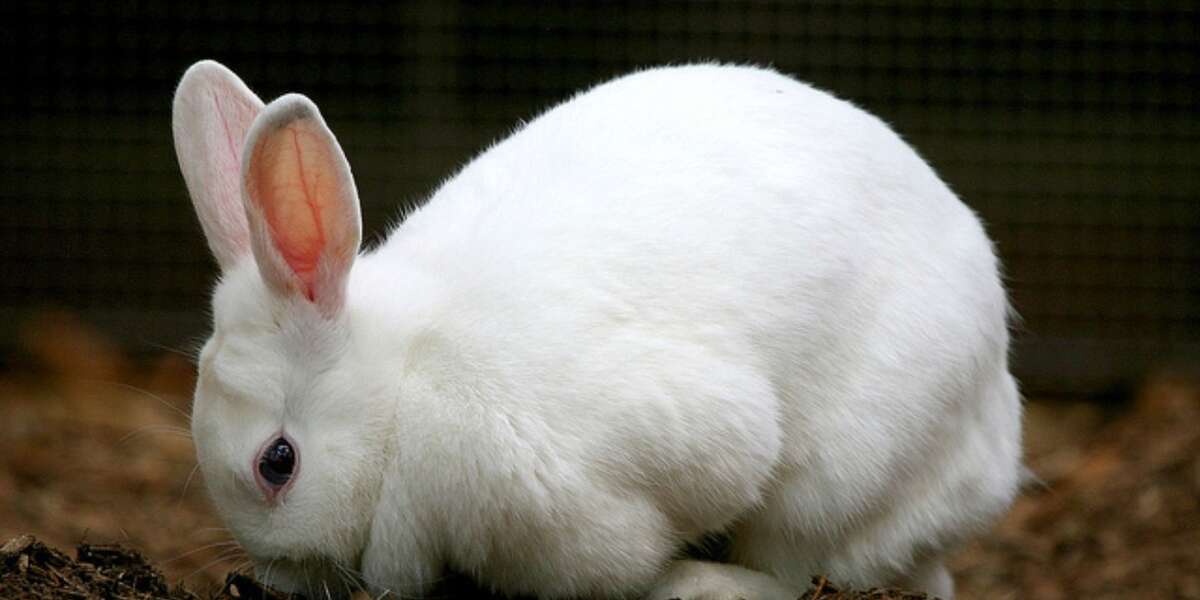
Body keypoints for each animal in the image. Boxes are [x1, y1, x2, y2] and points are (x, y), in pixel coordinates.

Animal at [172, 59, 1022, 600]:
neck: (404, 381)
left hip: (838, 482)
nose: (274, 576)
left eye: (278, 463)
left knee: (808, 567)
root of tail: (996, 445)